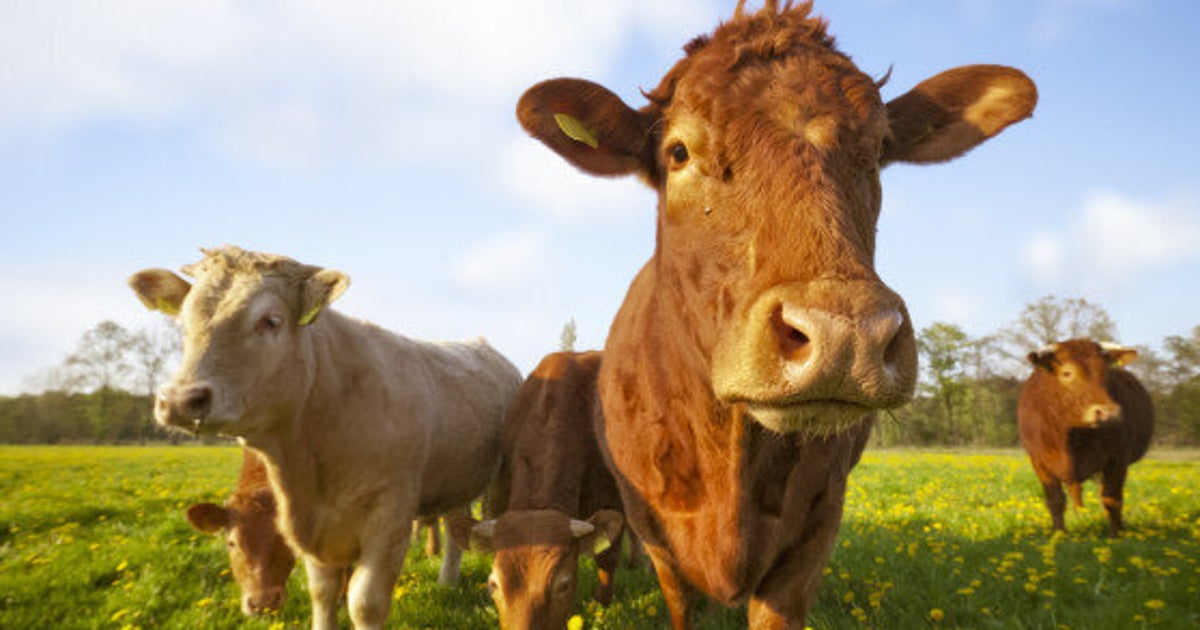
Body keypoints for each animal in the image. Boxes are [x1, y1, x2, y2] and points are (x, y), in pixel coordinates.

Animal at [128, 245, 522, 630]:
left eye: (271, 320)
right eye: (183, 321)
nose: (180, 399)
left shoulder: (389, 519)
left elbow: (364, 603)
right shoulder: (314, 530)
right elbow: (322, 594)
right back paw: (446, 581)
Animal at [1018, 339, 1154, 537]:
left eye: (1107, 373)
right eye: (1067, 372)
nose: (1108, 412)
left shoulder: (1118, 460)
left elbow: (1112, 499)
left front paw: (1116, 534)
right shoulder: (1039, 461)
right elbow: (1055, 499)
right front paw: (1059, 533)